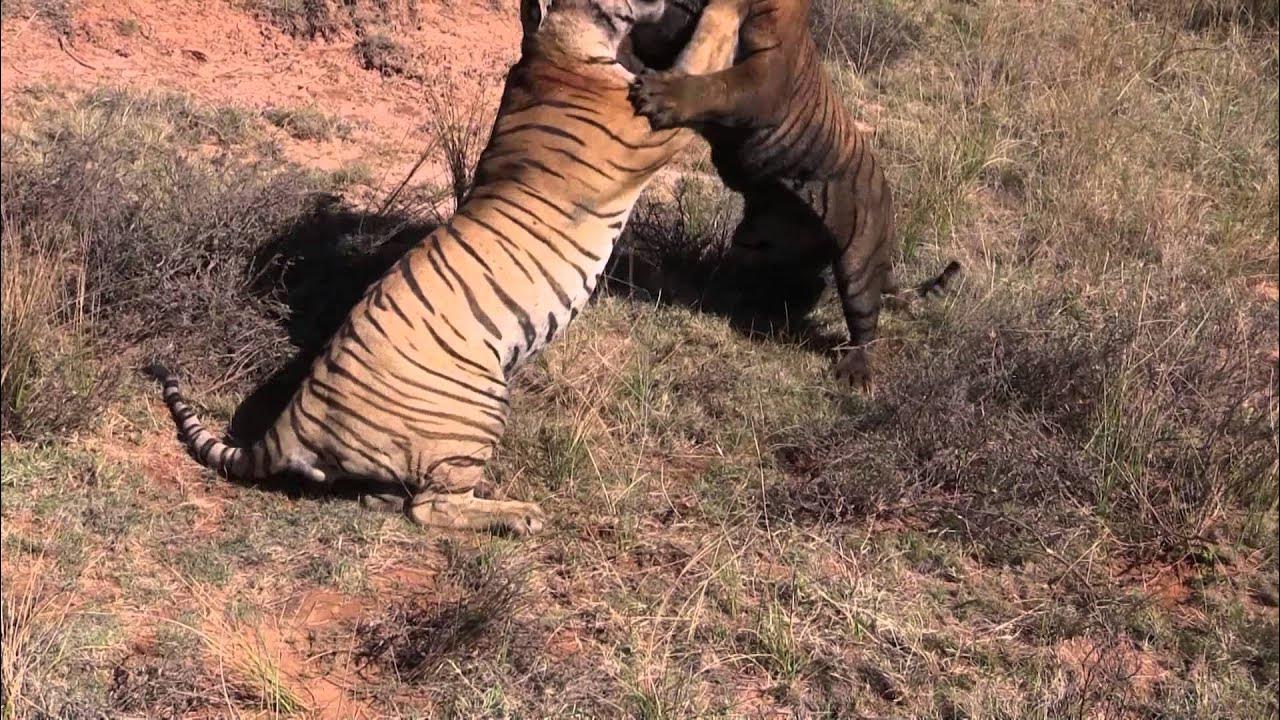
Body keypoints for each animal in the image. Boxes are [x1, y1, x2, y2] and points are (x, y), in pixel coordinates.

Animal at [145, 0, 746, 536]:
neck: (553, 48)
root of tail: (292, 423)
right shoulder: (659, 121)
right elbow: (704, 46)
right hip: (479, 403)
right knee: (430, 509)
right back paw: (519, 515)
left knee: (388, 497)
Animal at [627, 0, 960, 389]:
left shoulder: (762, 79)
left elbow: (715, 87)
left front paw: (659, 94)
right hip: (755, 248)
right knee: (792, 286)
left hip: (858, 264)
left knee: (864, 324)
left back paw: (855, 371)